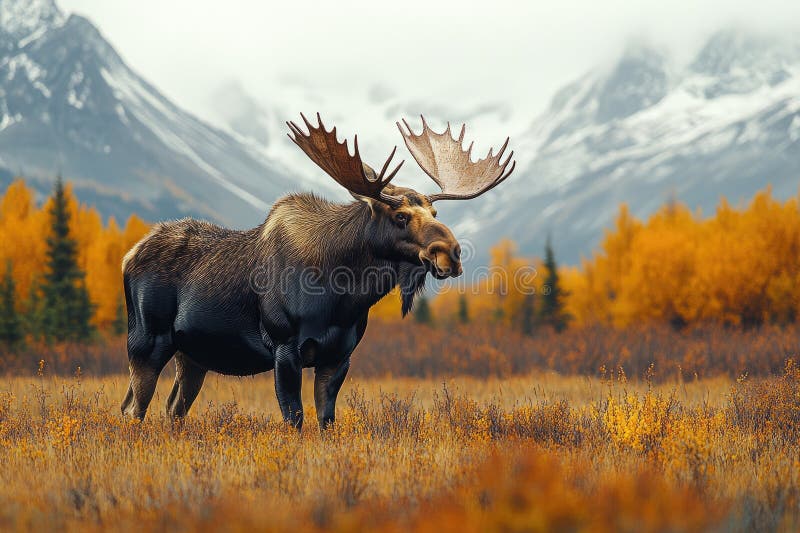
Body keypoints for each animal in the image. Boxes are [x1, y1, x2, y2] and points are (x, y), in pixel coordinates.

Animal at [120, 114, 515, 429]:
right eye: (400, 216)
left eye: (435, 214)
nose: (452, 253)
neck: (341, 298)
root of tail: (129, 255)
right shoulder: (284, 348)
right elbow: (294, 419)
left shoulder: (339, 356)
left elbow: (326, 420)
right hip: (146, 340)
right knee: (132, 409)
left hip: (193, 354)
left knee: (173, 408)